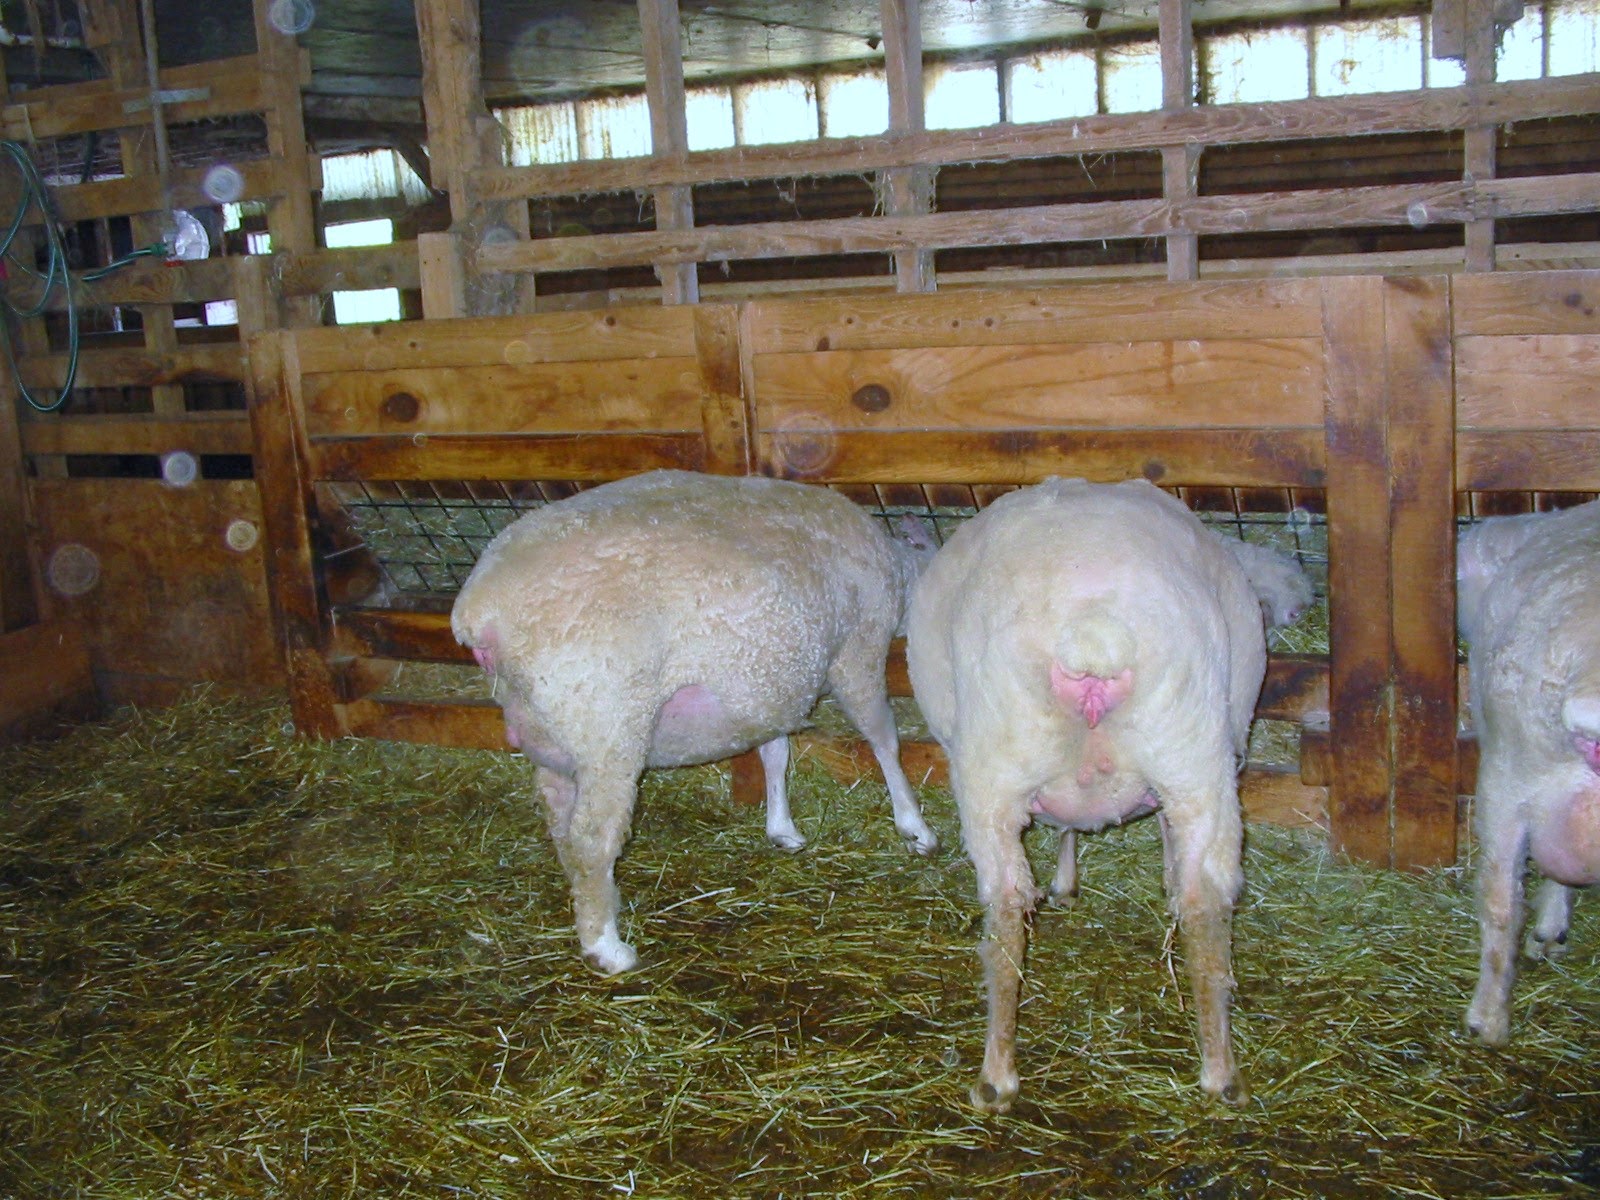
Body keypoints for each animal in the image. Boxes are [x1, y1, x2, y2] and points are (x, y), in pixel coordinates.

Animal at [451, 469, 939, 975]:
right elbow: (883, 739)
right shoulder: (858, 651)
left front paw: (782, 827)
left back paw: (597, 898)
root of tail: (478, 615)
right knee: (591, 836)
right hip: (607, 723)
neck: (901, 573)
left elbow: (775, 753)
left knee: (559, 815)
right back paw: (607, 946)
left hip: (550, 728)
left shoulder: (770, 689)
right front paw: (915, 826)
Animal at [905, 477, 1265, 1112]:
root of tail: (1094, 633)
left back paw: (995, 1075)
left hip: (992, 767)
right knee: (1205, 900)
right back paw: (1221, 1071)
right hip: (1195, 752)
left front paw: (1065, 883)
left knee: (1006, 906)